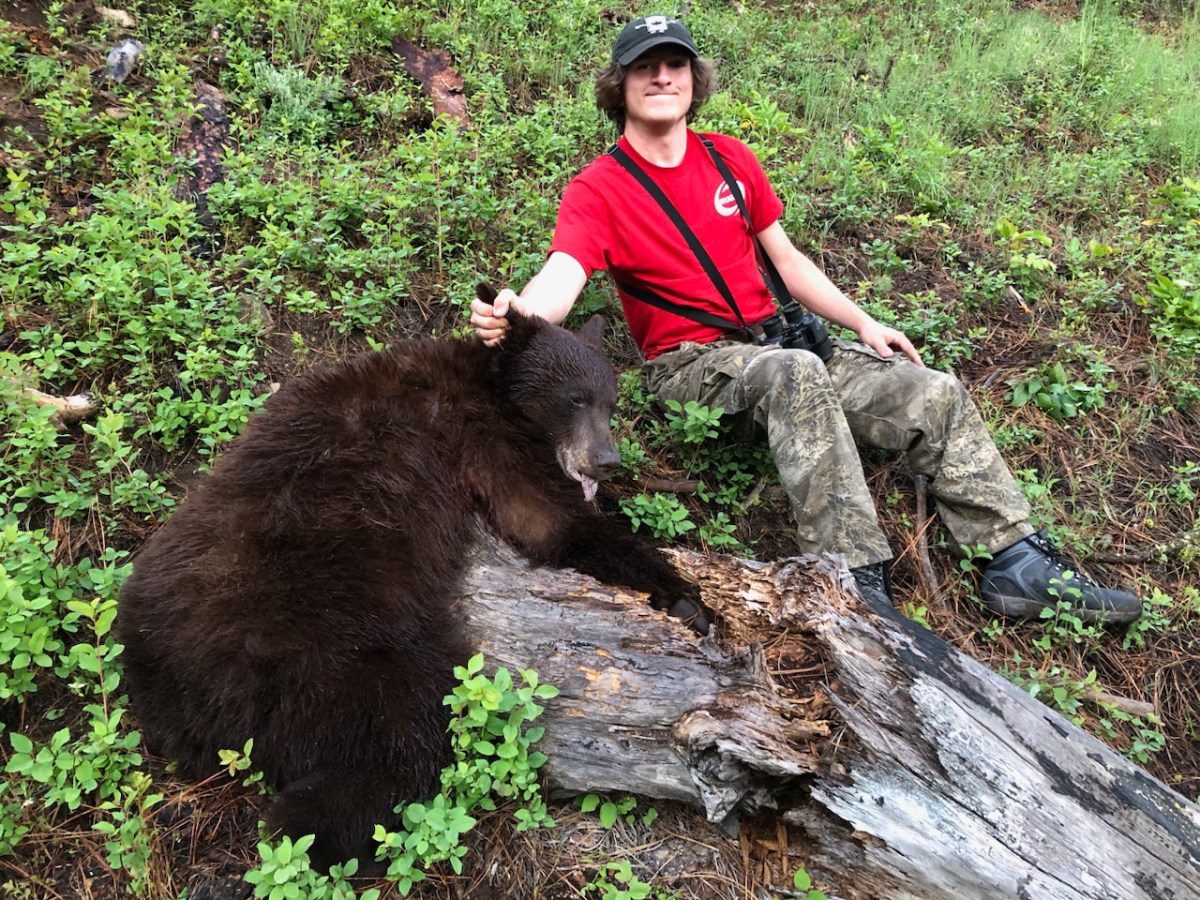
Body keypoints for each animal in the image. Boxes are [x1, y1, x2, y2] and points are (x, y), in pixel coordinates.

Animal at [114, 283, 704, 871]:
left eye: (611, 403)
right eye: (575, 398)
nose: (605, 459)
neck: (490, 387)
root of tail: (179, 707)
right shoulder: (484, 436)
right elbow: (550, 522)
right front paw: (688, 599)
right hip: (334, 638)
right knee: (412, 723)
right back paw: (311, 826)